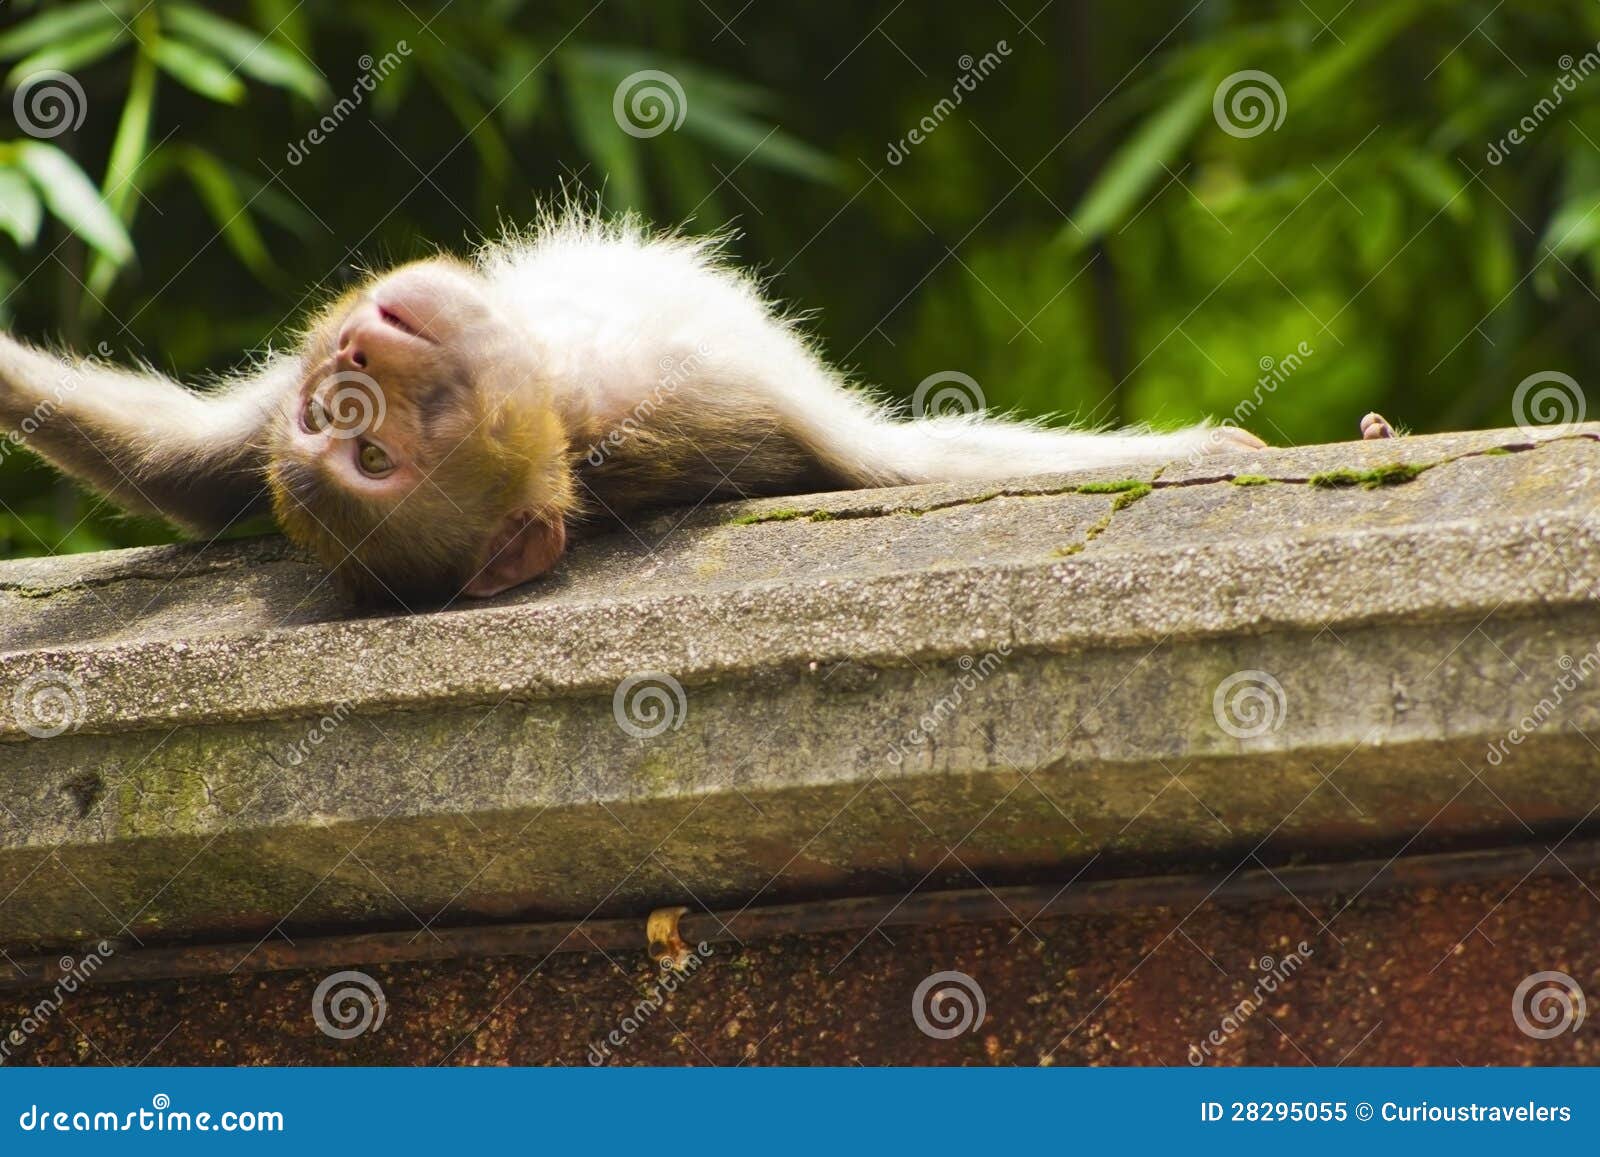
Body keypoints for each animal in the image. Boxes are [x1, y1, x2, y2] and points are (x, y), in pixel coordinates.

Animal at [0, 212, 1265, 607]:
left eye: (337, 416)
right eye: (370, 449)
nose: (357, 341)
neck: (565, 391)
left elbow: (185, 465)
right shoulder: (701, 393)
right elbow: (890, 455)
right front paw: (1214, 443)